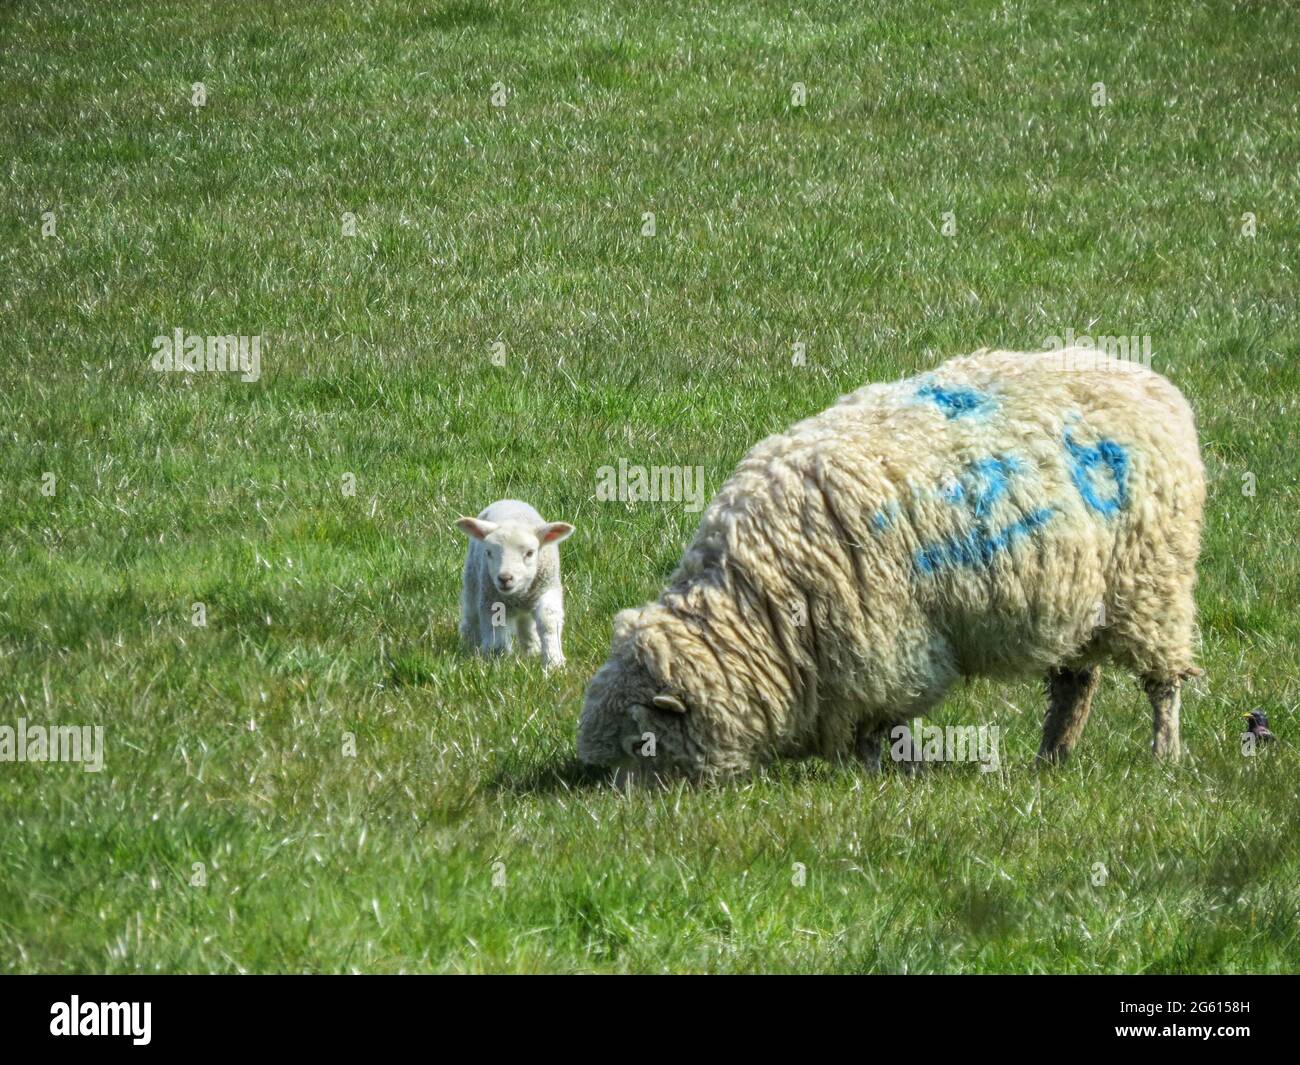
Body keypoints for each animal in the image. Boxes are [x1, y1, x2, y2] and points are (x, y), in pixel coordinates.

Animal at [456, 500, 575, 671]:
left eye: (530, 553)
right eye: (489, 552)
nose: (504, 578)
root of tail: (508, 500)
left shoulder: (548, 588)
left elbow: (548, 621)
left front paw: (554, 661)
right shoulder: (490, 599)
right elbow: (496, 635)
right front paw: (496, 663)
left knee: (526, 623)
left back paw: (532, 649)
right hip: (473, 579)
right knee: (471, 615)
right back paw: (470, 643)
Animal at [578, 347, 1205, 782]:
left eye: (641, 745)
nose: (619, 808)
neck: (760, 604)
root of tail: (1149, 381)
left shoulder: (887, 648)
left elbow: (881, 724)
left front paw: (883, 773)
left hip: (1153, 584)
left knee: (1162, 683)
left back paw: (1164, 754)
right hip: (1076, 597)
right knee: (1077, 683)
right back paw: (1052, 758)